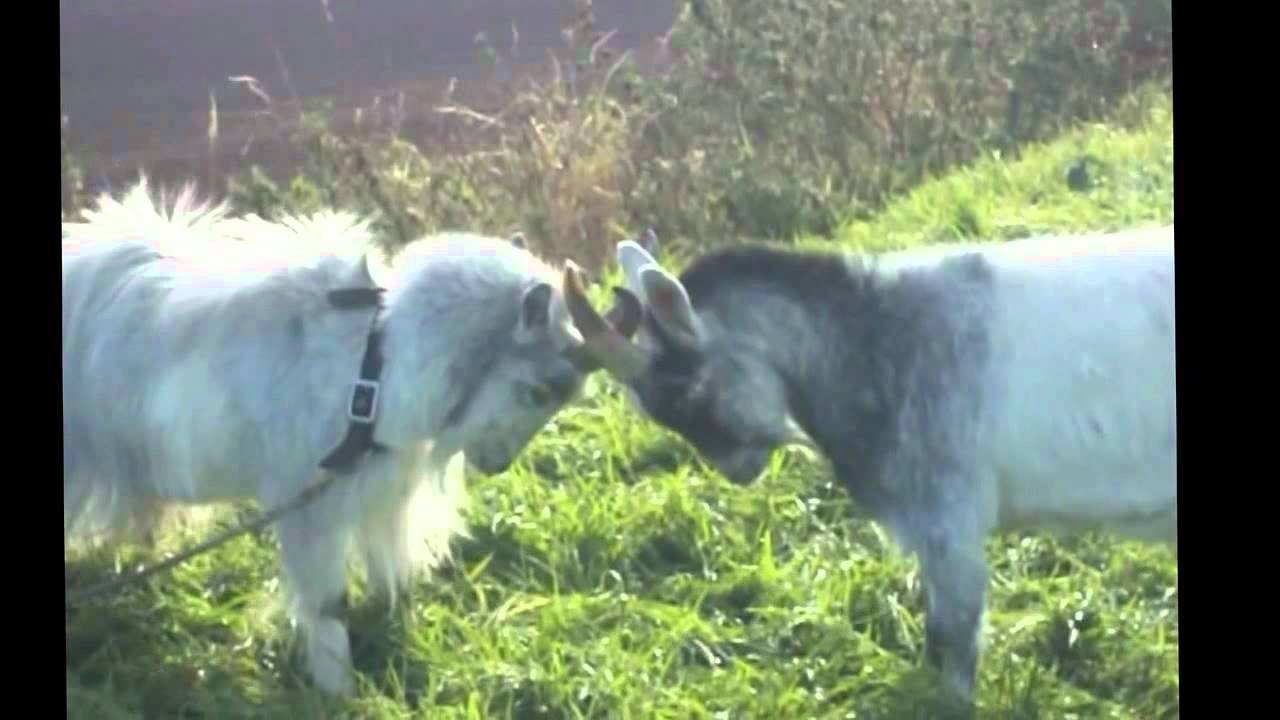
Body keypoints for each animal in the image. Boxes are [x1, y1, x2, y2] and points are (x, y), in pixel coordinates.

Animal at [62, 178, 641, 695]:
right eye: (540, 389)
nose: (495, 464)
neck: (375, 367)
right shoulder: (305, 506)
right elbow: (326, 606)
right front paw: (339, 688)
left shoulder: (380, 494)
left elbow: (388, 573)